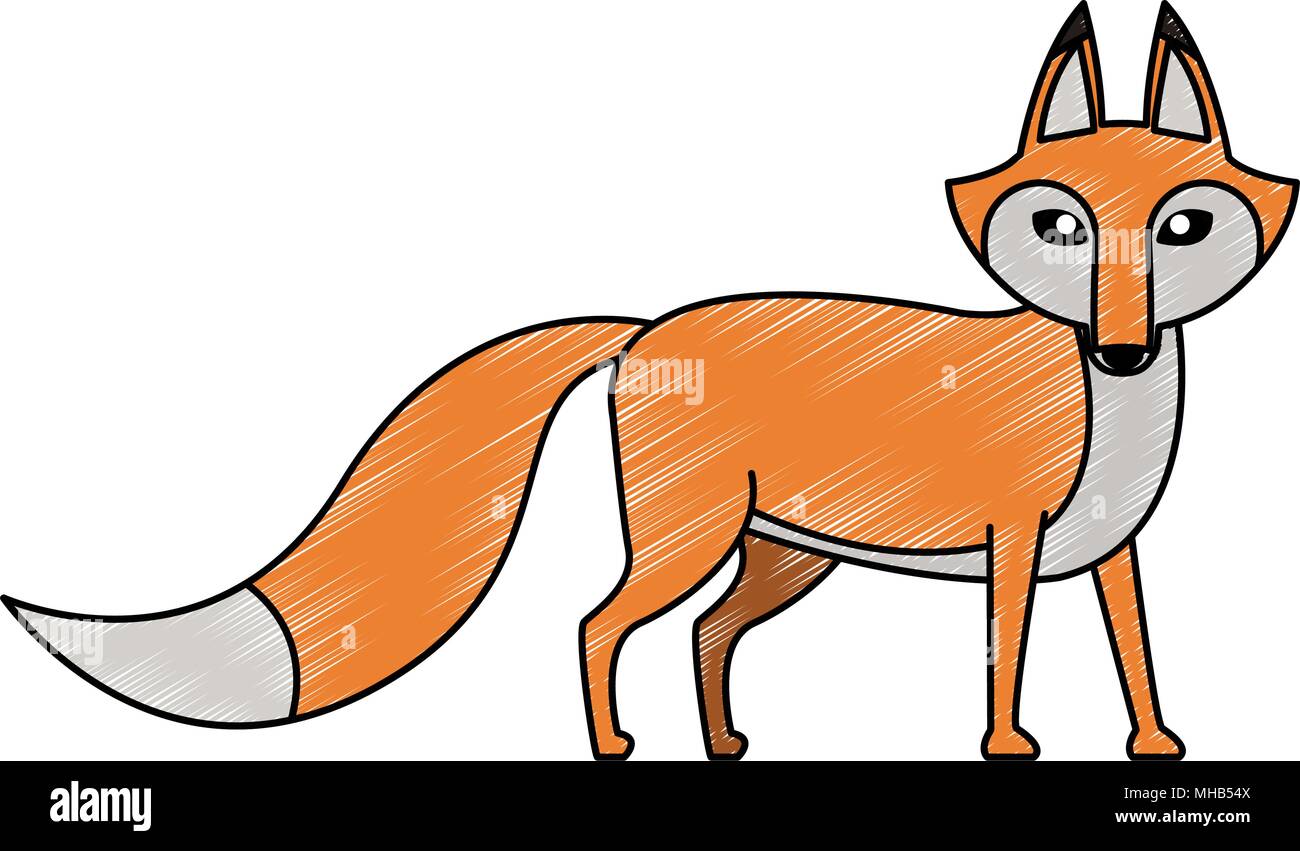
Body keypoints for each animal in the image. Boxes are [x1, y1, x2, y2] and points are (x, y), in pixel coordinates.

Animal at [5, 2, 1295, 761]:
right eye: (1057, 228)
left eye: (1182, 228)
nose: (1121, 348)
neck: (1107, 414)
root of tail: (642, 330)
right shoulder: (1014, 540)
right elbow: (1009, 650)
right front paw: (1009, 747)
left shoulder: (1114, 549)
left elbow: (1138, 649)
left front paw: (1158, 745)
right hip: (694, 535)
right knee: (598, 620)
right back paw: (614, 746)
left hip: (779, 556)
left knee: (705, 632)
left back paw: (724, 745)